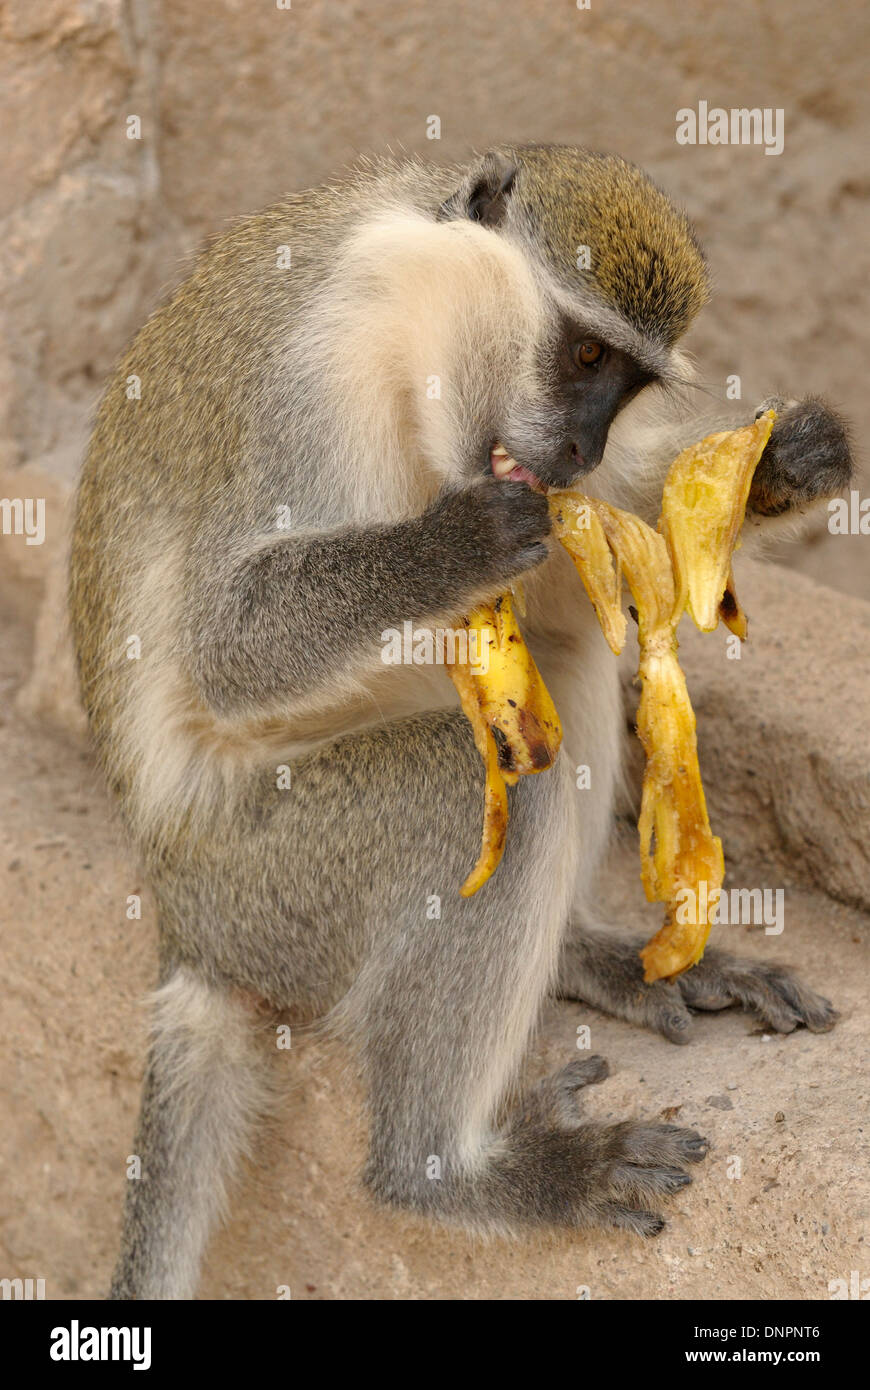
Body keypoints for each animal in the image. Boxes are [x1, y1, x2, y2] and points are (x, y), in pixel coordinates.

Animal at [68, 144, 852, 1299]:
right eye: (583, 353)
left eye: (629, 384)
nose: (580, 448)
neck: (409, 336)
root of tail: (186, 928)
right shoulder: (311, 375)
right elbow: (228, 647)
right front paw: (457, 544)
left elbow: (587, 565)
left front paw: (777, 468)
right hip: (272, 885)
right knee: (469, 781)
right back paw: (452, 1173)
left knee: (562, 661)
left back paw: (586, 957)